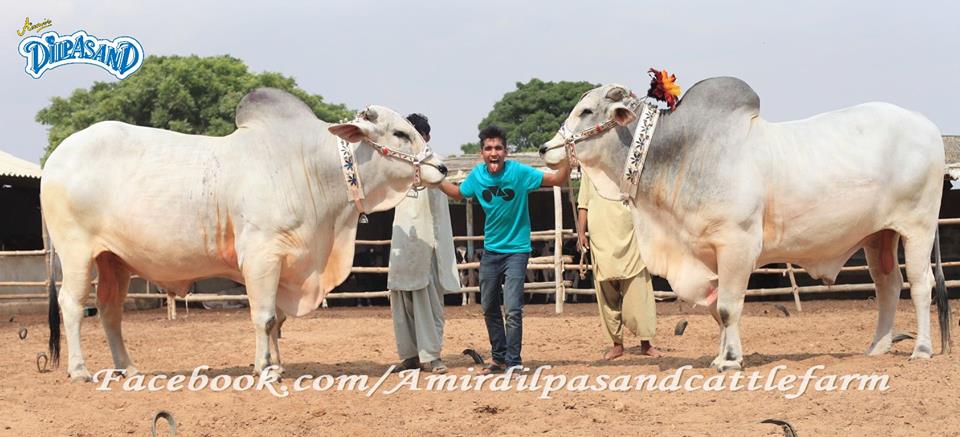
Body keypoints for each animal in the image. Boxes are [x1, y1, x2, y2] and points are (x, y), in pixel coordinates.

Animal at [42, 88, 448, 381]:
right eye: (400, 133)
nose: (442, 168)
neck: (309, 167)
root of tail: (56, 159)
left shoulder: (285, 264)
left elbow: (278, 321)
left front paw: (276, 365)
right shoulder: (261, 257)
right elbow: (264, 317)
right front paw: (265, 370)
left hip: (115, 260)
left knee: (110, 311)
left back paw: (127, 367)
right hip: (77, 253)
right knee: (72, 305)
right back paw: (80, 371)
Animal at [541, 79, 951, 371]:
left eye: (587, 110)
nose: (546, 149)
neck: (685, 153)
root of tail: (929, 128)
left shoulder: (736, 245)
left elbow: (727, 308)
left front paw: (731, 360)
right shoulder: (708, 255)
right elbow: (716, 310)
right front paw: (719, 355)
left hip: (916, 228)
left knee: (920, 285)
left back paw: (921, 349)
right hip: (877, 236)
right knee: (888, 286)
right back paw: (877, 347)